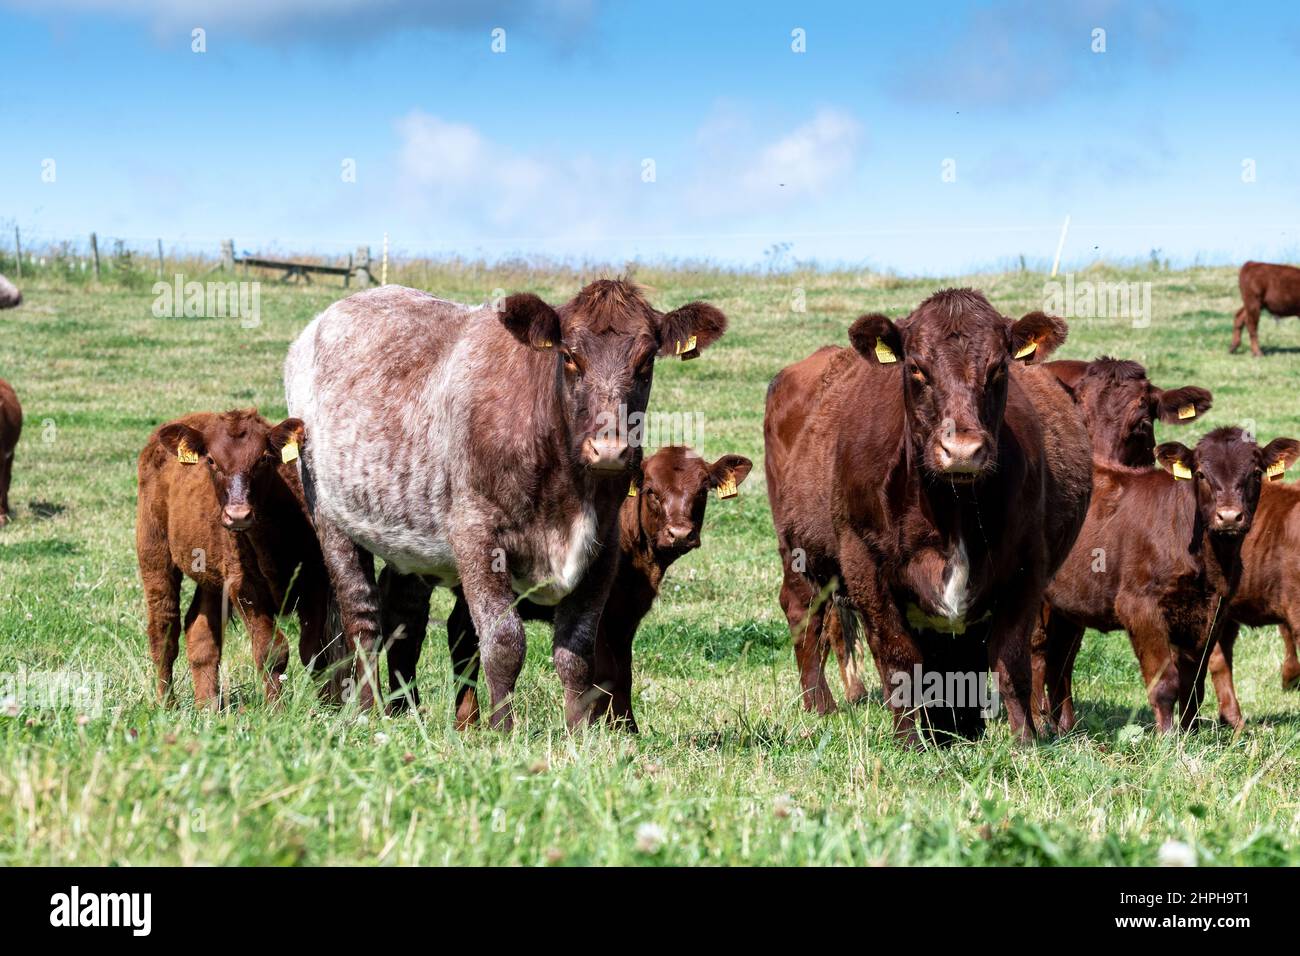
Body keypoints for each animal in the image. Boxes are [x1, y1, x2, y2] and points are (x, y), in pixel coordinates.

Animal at [136, 410, 333, 706]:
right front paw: (275, 709)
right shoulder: (245, 585)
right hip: (153, 551)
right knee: (164, 629)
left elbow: (315, 650)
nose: (238, 515)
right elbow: (271, 650)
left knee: (200, 632)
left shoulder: (316, 578)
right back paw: (166, 703)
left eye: (264, 458)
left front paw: (329, 707)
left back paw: (207, 706)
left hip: (210, 571)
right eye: (211, 460)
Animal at [416, 446, 753, 732]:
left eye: (702, 490)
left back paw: (466, 722)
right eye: (652, 491)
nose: (680, 533)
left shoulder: (626, 616)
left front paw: (628, 729)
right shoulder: (601, 614)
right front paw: (603, 728)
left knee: (462, 638)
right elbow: (604, 672)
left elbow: (623, 672)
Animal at [765, 288, 1092, 744]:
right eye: (916, 368)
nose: (962, 451)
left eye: (998, 368)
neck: (951, 508)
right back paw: (820, 704)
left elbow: (1011, 661)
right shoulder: (865, 563)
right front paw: (907, 743)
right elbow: (899, 659)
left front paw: (1023, 741)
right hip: (799, 549)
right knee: (805, 613)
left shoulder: (1028, 566)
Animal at [1038, 427, 1300, 734]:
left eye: (1256, 473)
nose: (1229, 517)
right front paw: (1166, 736)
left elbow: (1194, 682)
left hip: (1067, 604)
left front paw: (1191, 733)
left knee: (1059, 661)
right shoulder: (1139, 606)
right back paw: (1038, 727)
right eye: (1200, 474)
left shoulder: (1214, 611)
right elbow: (1165, 683)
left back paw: (1065, 728)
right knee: (1035, 656)